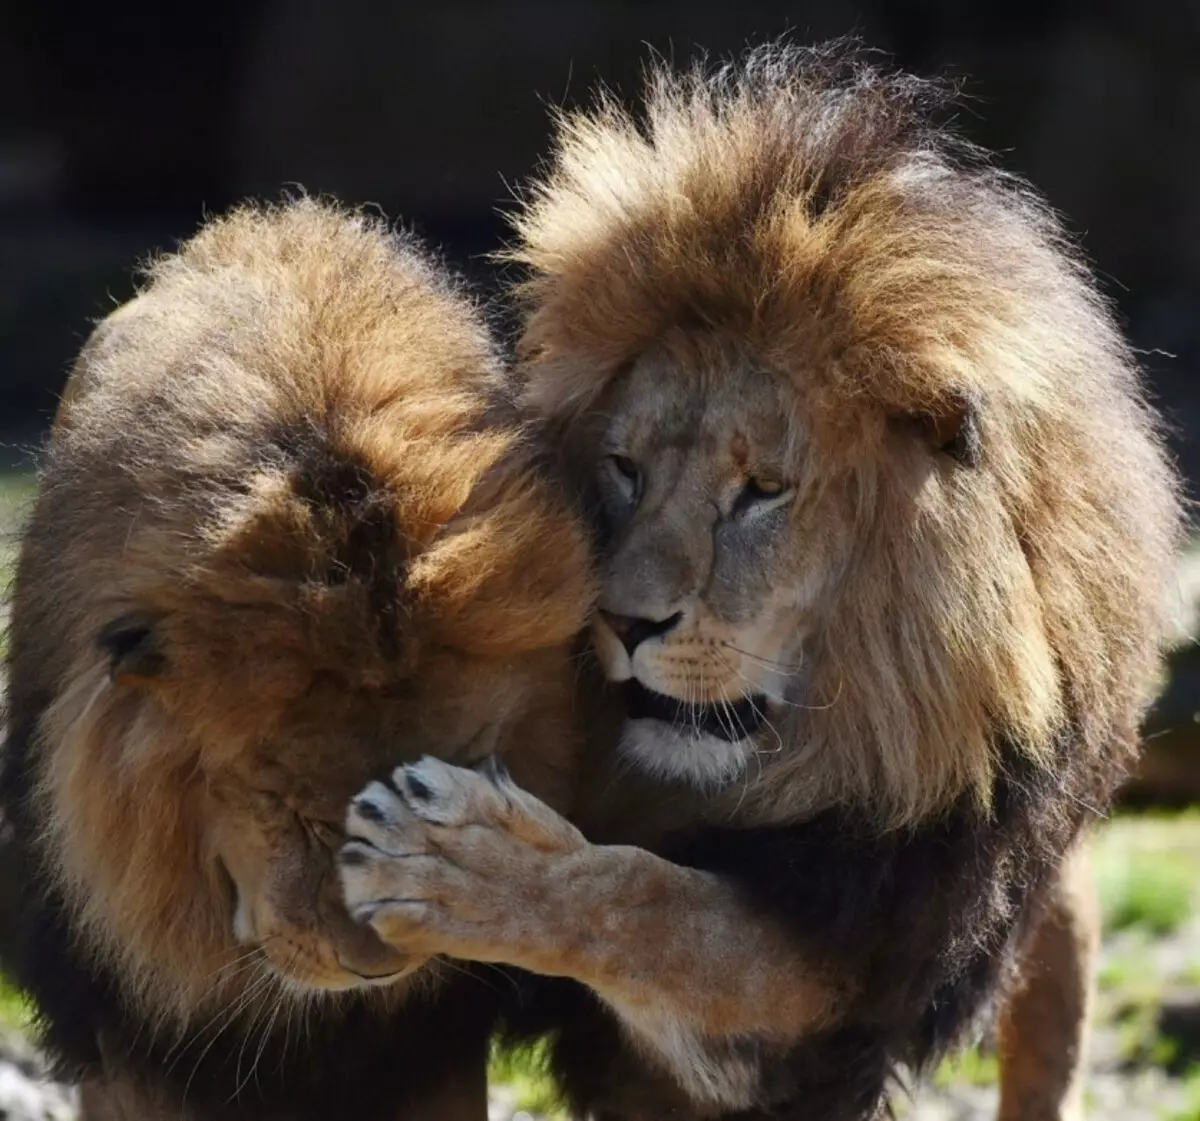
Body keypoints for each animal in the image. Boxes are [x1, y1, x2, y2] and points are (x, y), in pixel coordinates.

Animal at [338, 41, 1180, 1121]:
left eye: (761, 491)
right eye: (625, 467)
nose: (623, 620)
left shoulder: (841, 979)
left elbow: (654, 906)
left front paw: (454, 862)